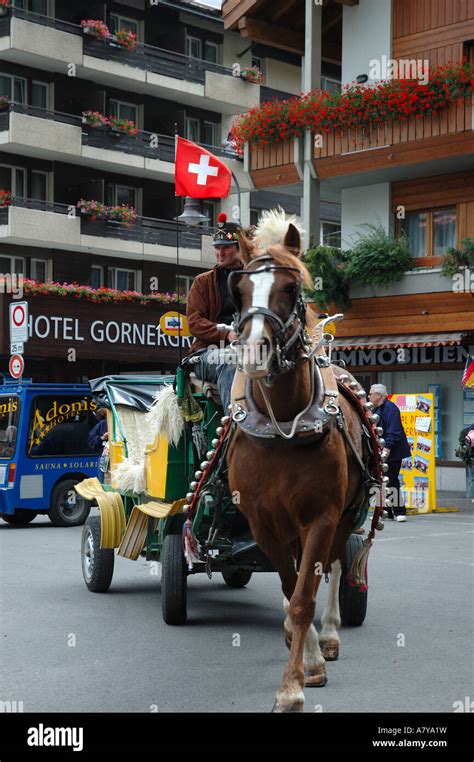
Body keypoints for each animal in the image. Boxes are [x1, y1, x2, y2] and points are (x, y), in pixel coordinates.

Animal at [228, 214, 380, 712]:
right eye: (240, 288)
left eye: (291, 287)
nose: (254, 352)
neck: (282, 431)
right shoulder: (263, 522)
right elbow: (288, 586)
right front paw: (302, 660)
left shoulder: (322, 515)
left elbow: (304, 595)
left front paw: (296, 680)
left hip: (347, 513)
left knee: (333, 566)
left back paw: (328, 635)